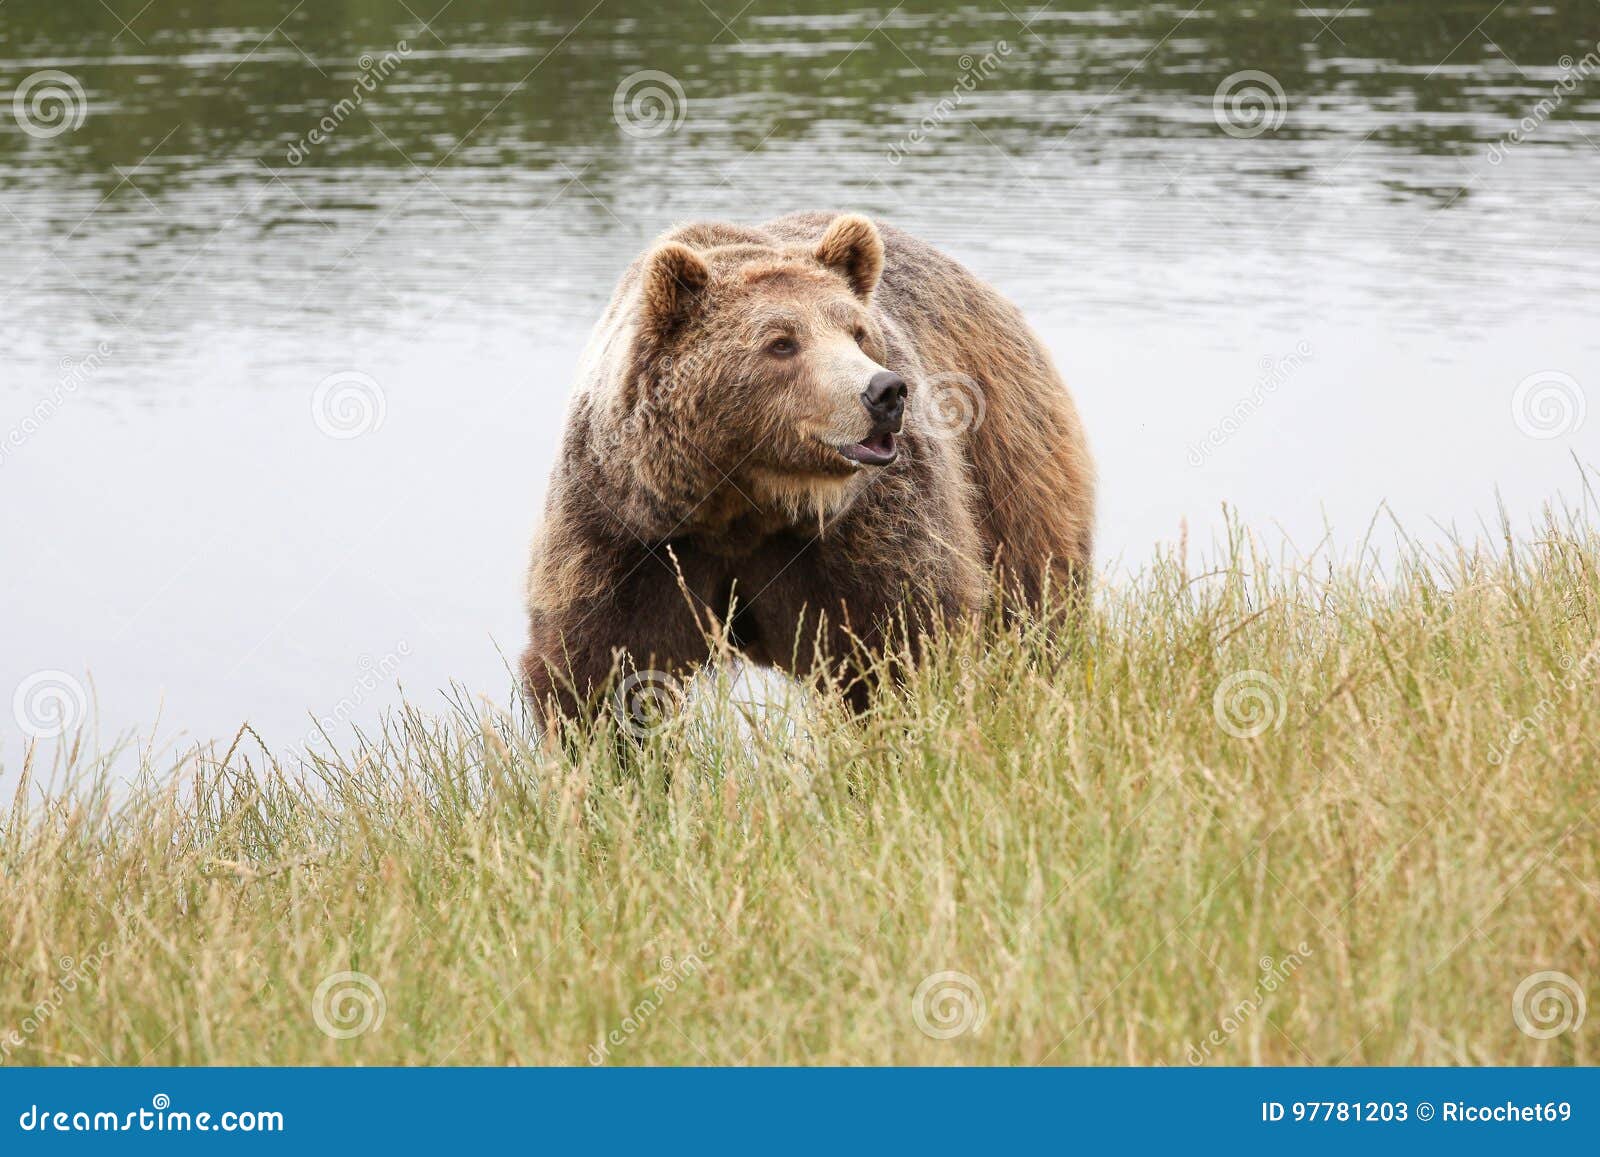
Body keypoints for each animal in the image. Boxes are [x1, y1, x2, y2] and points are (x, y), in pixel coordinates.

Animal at [520, 211, 1094, 727]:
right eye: (781, 342)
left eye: (858, 333)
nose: (885, 392)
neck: (746, 500)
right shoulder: (629, 530)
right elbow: (601, 669)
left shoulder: (867, 530)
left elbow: (901, 640)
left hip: (1009, 457)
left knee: (1032, 599)